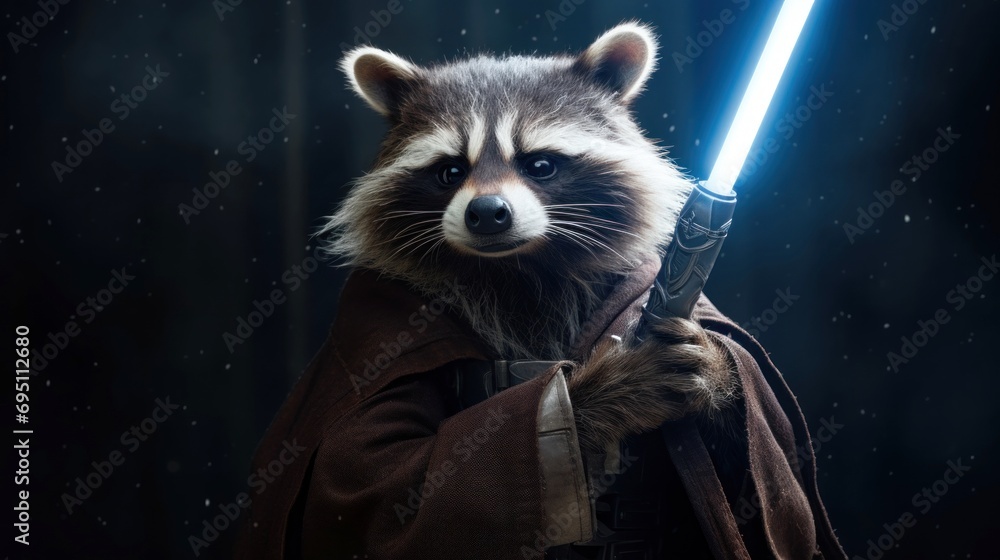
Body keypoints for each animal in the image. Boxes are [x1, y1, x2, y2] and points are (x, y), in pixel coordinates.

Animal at [322, 22, 736, 455]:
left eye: (539, 165)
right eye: (450, 172)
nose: (487, 213)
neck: (517, 268)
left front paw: (715, 370)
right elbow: (394, 450)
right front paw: (609, 388)